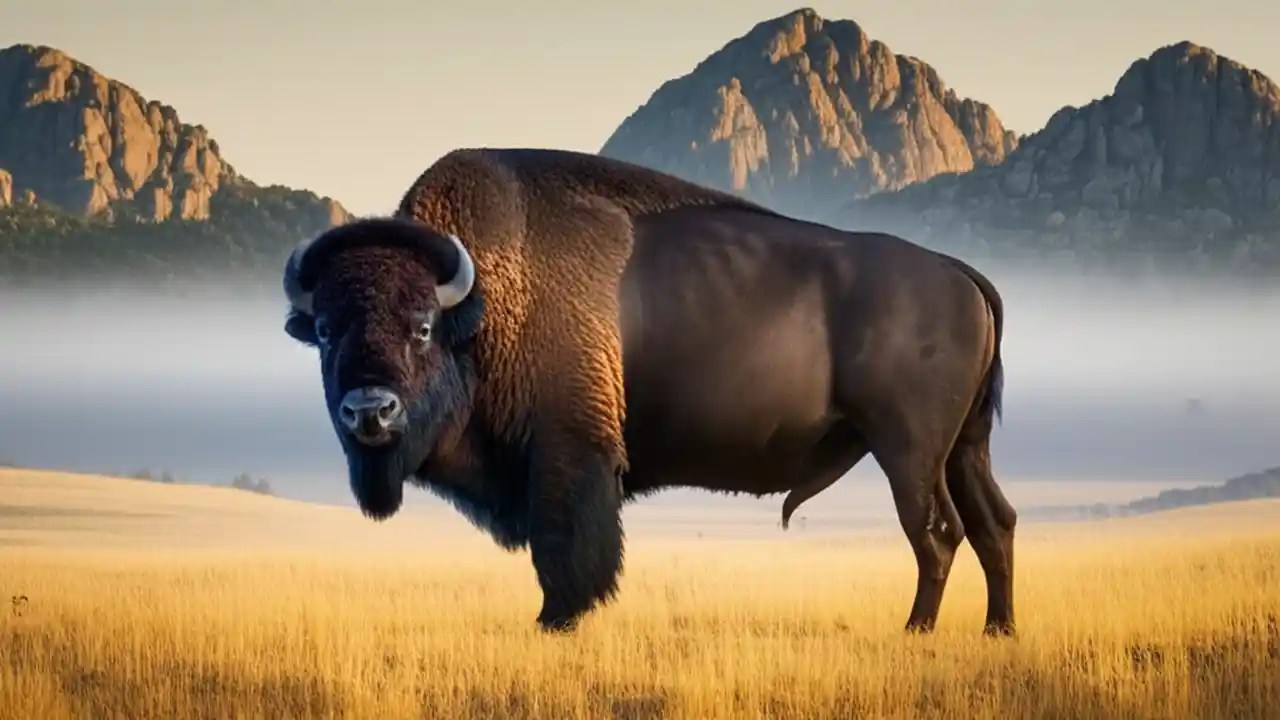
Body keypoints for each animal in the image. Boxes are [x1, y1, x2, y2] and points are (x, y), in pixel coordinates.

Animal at [281, 148, 1017, 636]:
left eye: (423, 326)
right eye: (324, 329)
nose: (369, 412)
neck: (485, 305)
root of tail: (958, 272)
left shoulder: (568, 455)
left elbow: (565, 550)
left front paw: (556, 623)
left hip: (908, 451)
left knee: (938, 534)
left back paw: (916, 633)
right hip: (964, 448)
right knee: (994, 524)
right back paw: (997, 631)